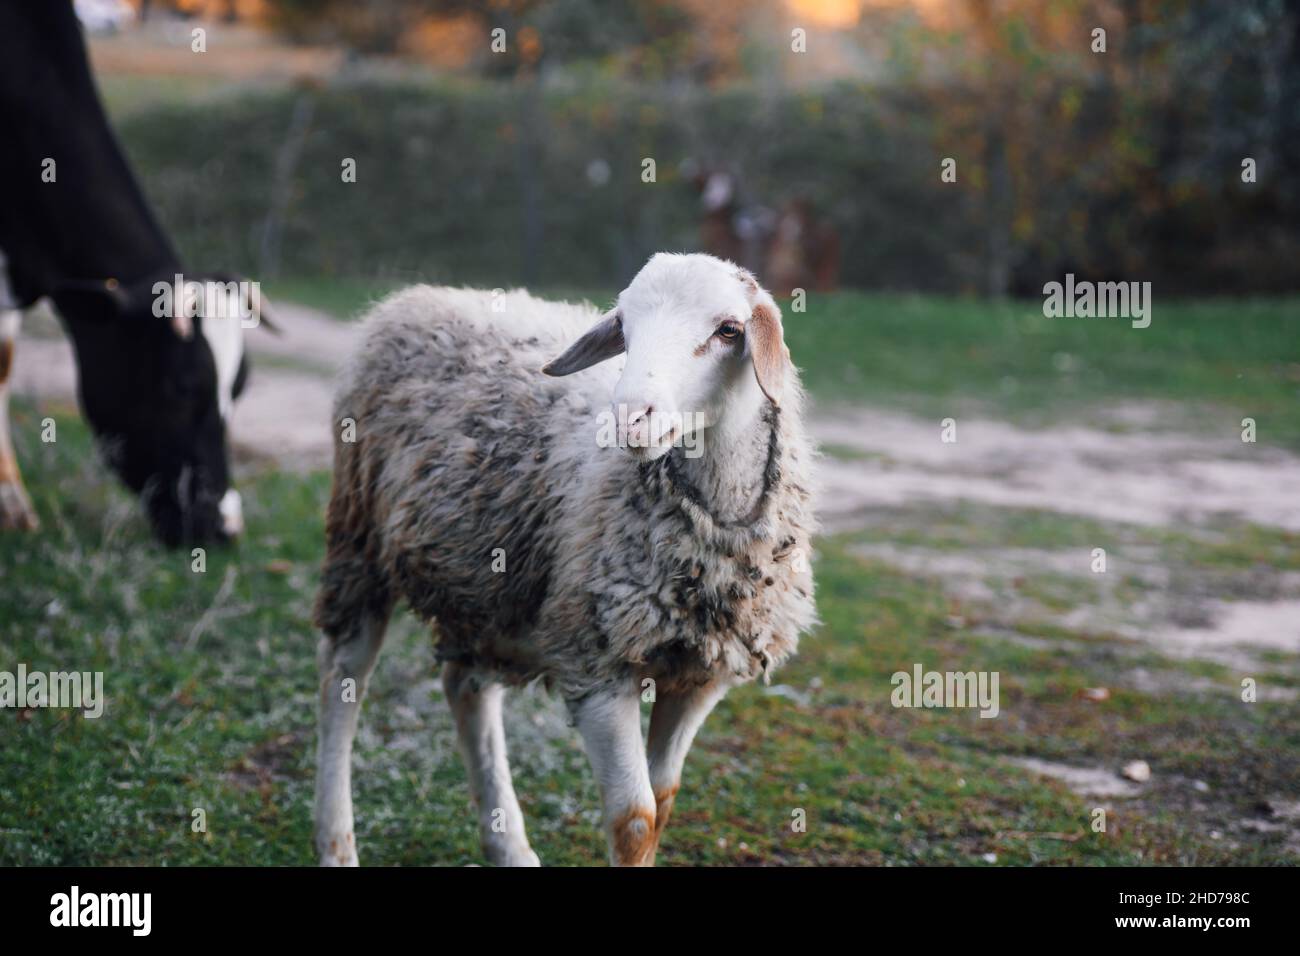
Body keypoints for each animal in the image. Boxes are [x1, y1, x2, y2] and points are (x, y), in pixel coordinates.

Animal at [313, 252, 817, 867]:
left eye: (728, 330)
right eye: (623, 325)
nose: (630, 417)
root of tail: (420, 296)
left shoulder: (702, 676)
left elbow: (664, 801)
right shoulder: (594, 663)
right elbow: (636, 819)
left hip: (486, 580)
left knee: (465, 688)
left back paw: (509, 845)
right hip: (359, 538)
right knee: (342, 680)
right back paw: (336, 842)